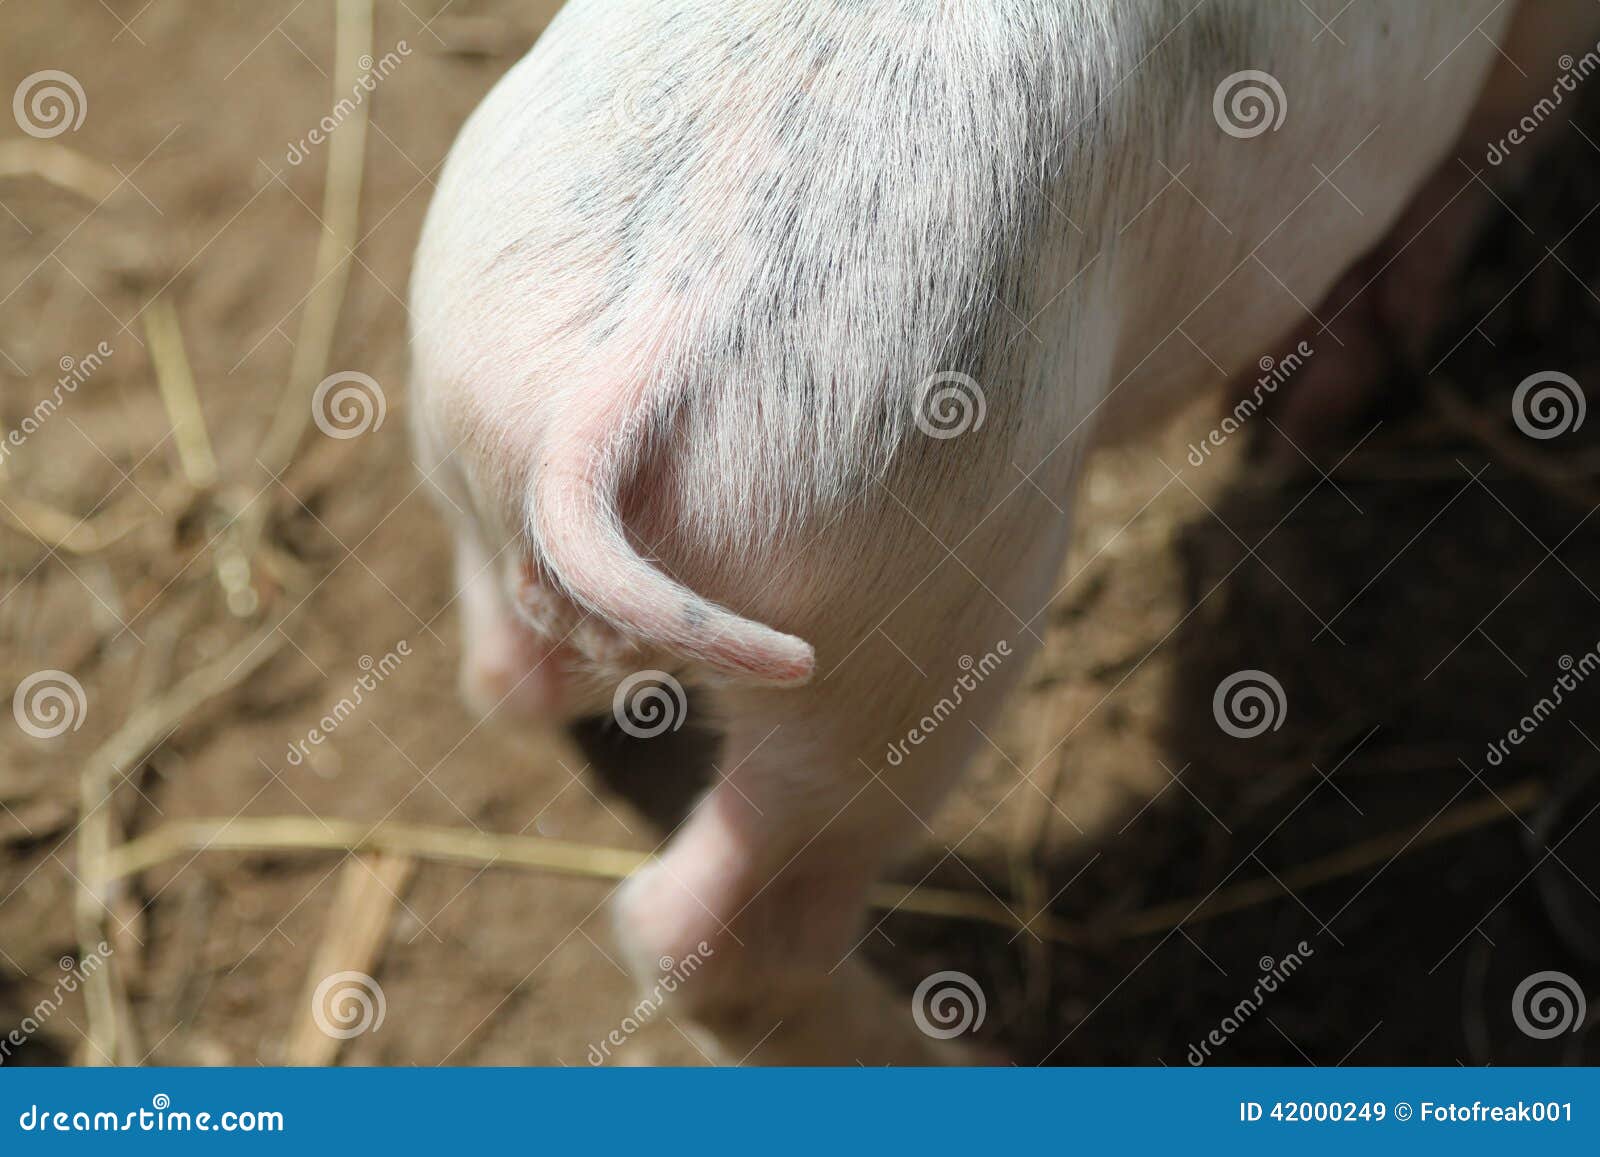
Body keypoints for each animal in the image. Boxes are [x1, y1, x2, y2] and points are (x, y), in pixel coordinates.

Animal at [408, 0, 1598, 1064]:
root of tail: (604, 400)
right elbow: (1486, 145)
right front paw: (1323, 405)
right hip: (919, 587)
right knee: (715, 924)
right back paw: (969, 1063)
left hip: (466, 417)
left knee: (506, 677)